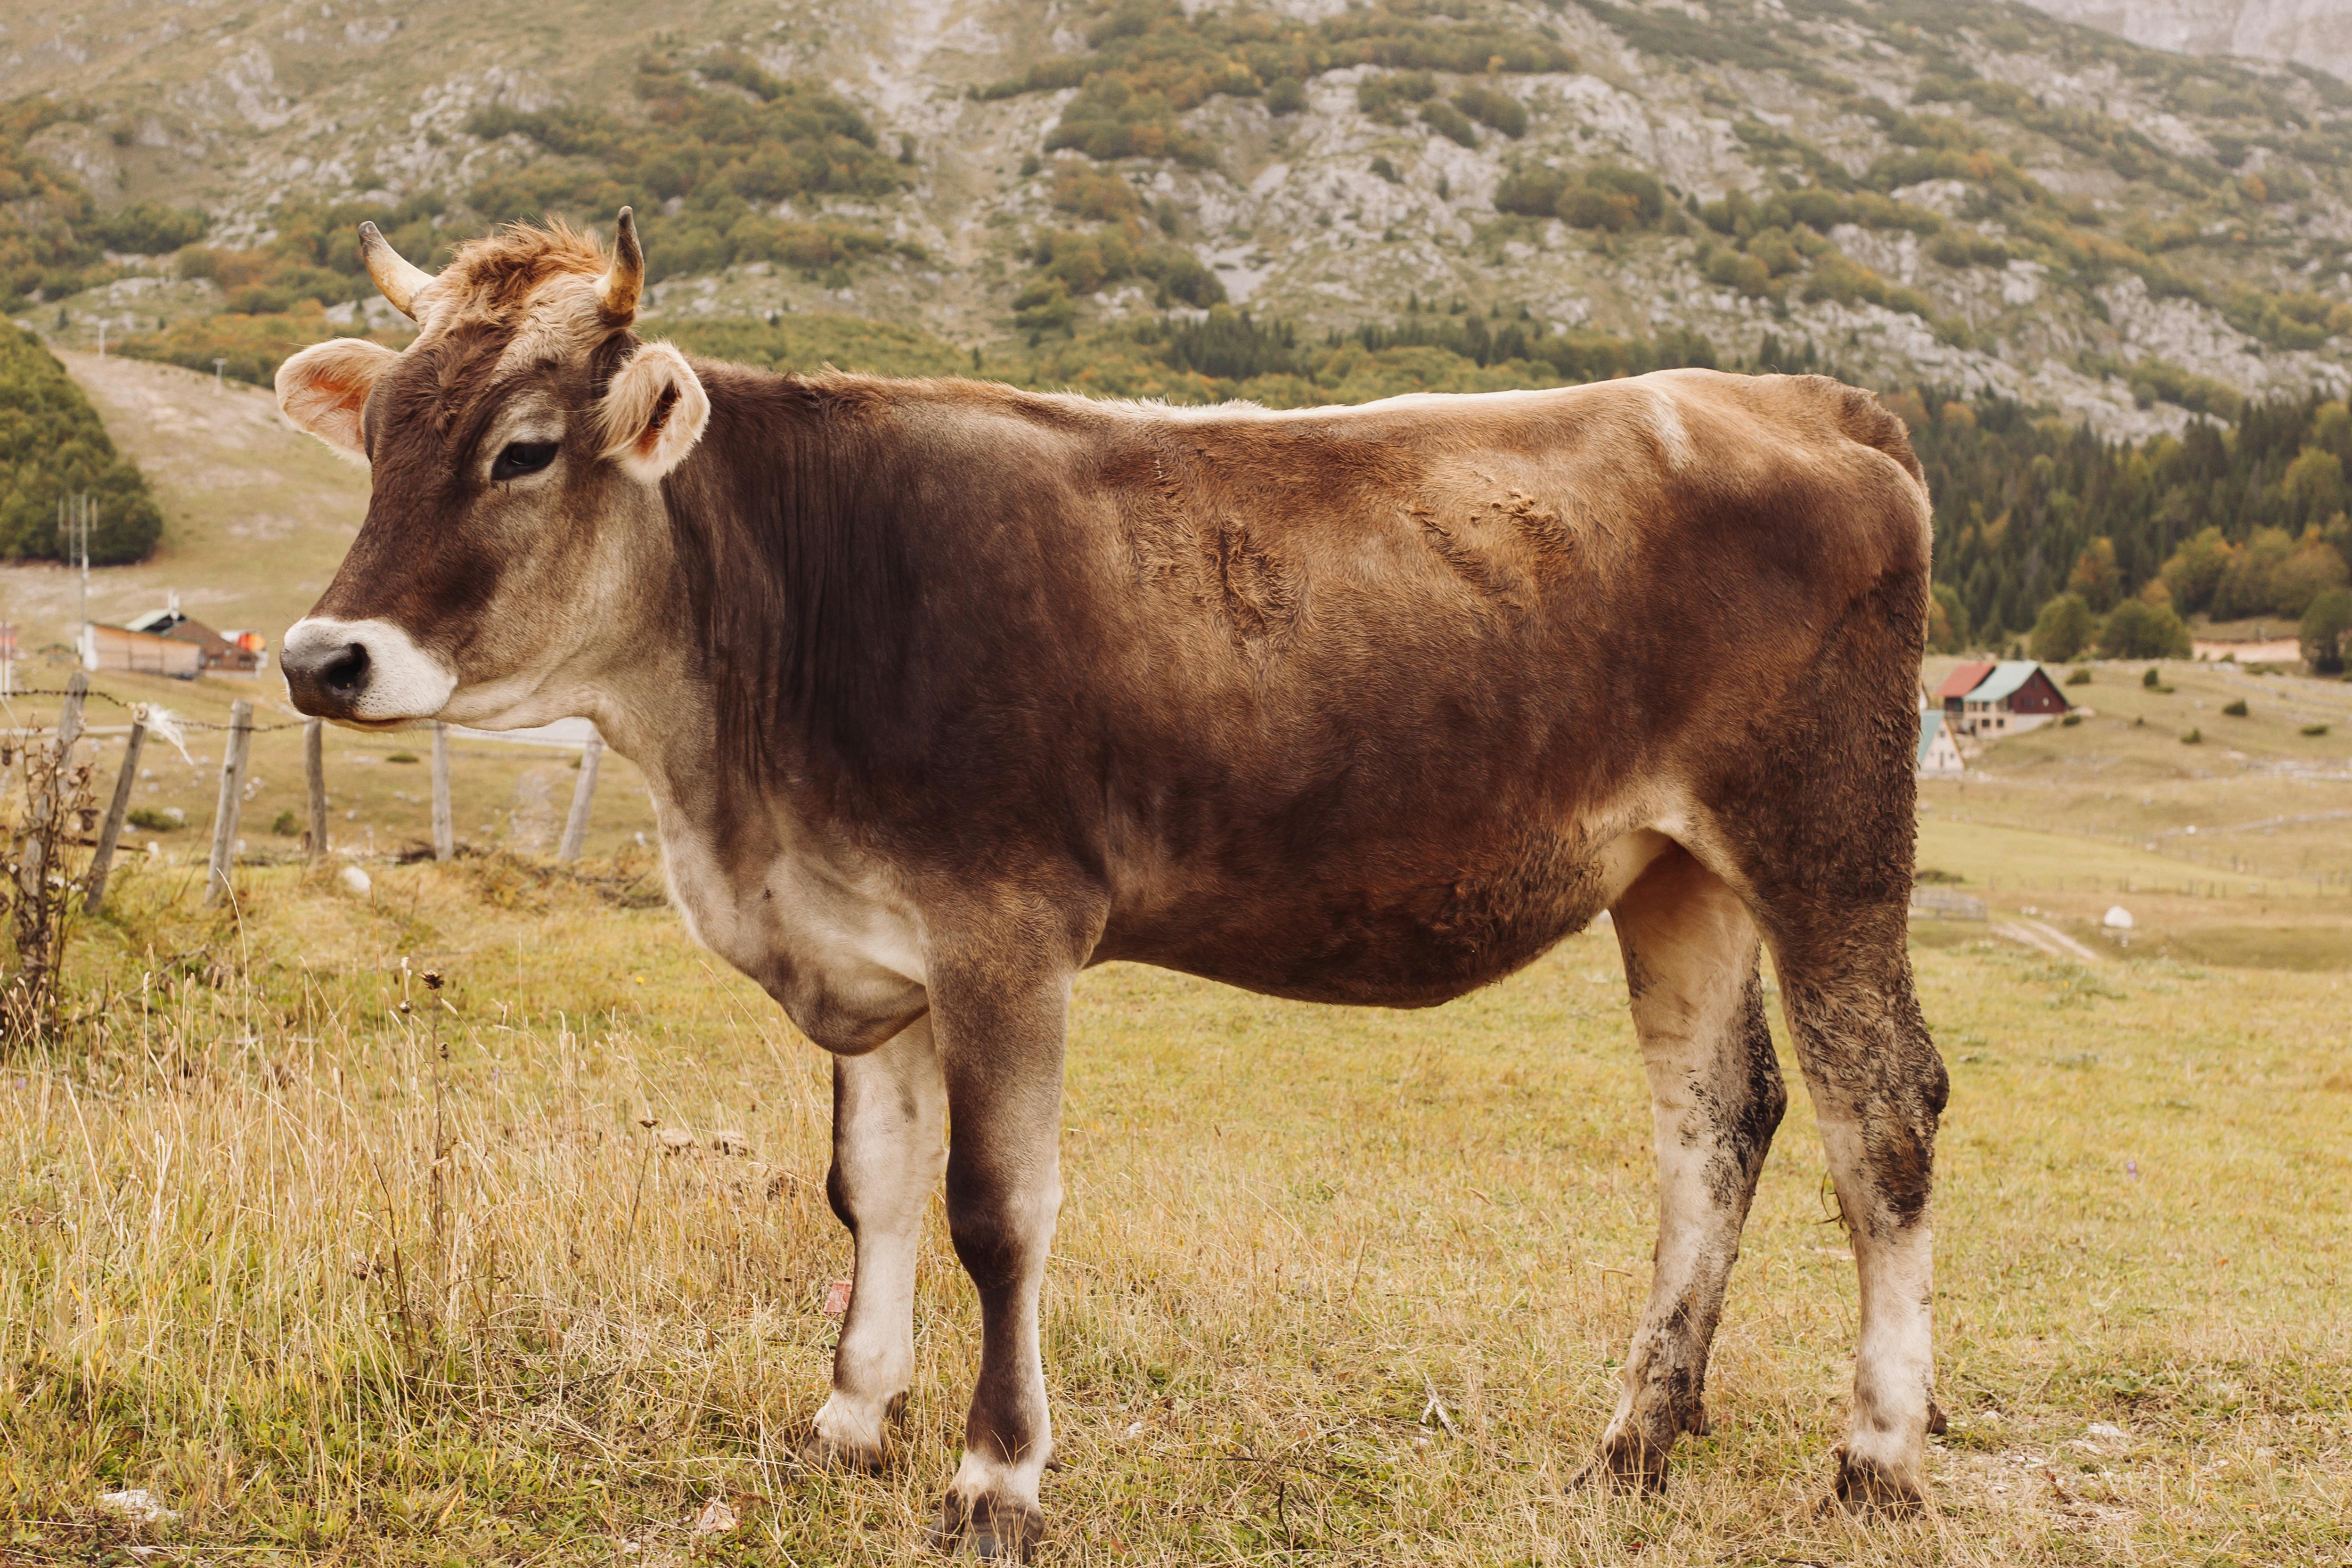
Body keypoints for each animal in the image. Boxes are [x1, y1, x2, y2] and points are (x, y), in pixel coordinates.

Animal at [274, 210, 1948, 1559]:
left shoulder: (1005, 930)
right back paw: (1635, 1439)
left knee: (1881, 1110)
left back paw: (1874, 1454)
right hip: (1674, 872)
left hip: (1827, 838)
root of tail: (1796, 397)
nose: (318, 657)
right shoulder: (869, 947)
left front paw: (993, 1479)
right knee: (1713, 1124)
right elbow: (869, 1188)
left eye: (523, 448)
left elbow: (996, 1209)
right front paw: (850, 1421)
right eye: (380, 437)